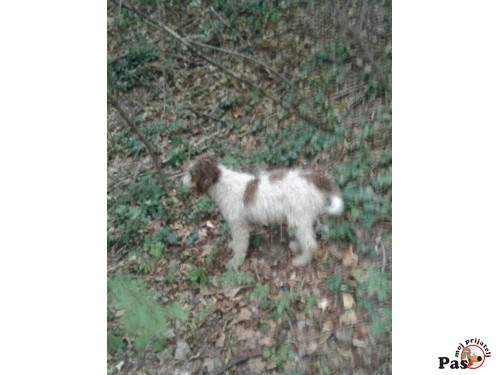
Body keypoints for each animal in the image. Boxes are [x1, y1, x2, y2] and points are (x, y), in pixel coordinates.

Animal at [183, 157, 344, 268]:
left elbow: (241, 244)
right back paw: (296, 246)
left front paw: (235, 263)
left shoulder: (238, 225)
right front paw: (233, 246)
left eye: (191, 173)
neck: (221, 183)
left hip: (298, 218)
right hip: (303, 216)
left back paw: (302, 260)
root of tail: (311, 176)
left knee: (311, 244)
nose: (181, 180)